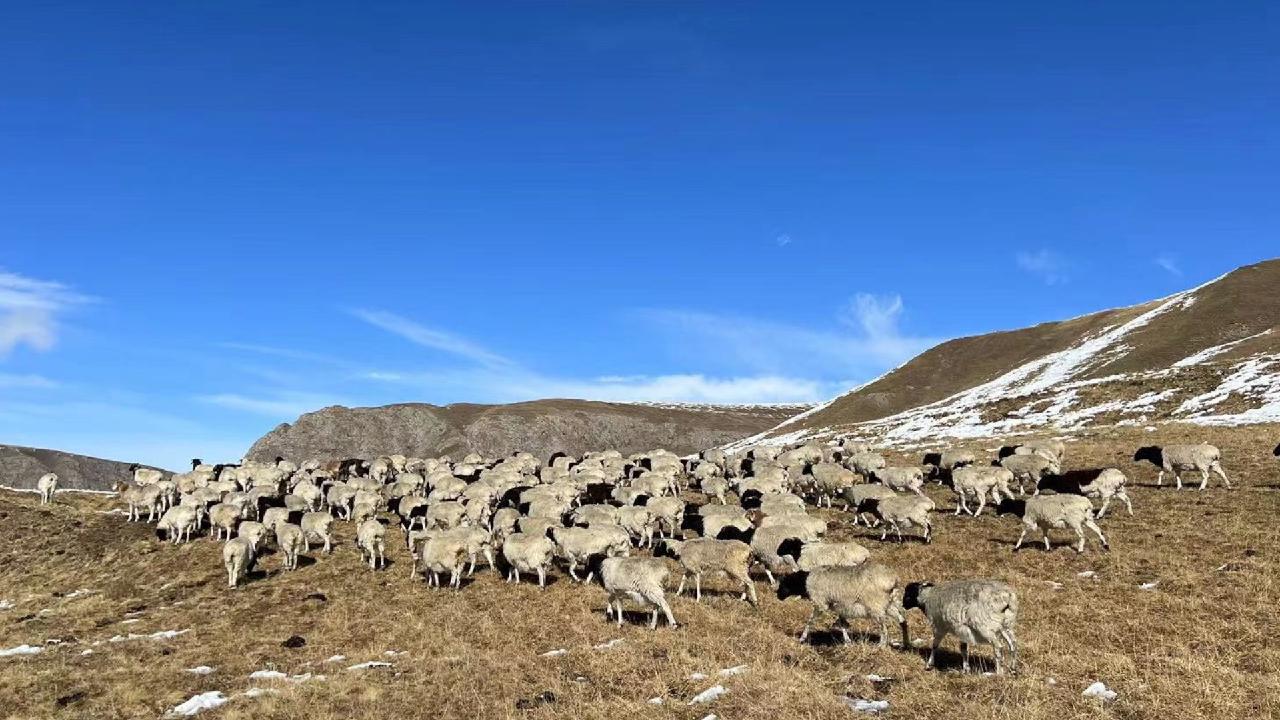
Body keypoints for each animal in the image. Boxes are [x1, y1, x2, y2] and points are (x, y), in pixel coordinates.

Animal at [775, 563, 908, 648]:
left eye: (785, 583)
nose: (778, 595)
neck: (805, 582)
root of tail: (892, 580)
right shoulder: (840, 607)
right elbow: (842, 623)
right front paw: (847, 641)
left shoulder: (821, 604)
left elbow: (810, 621)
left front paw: (802, 638)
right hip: (889, 604)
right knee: (903, 621)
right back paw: (906, 643)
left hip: (876, 606)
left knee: (884, 628)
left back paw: (881, 645)